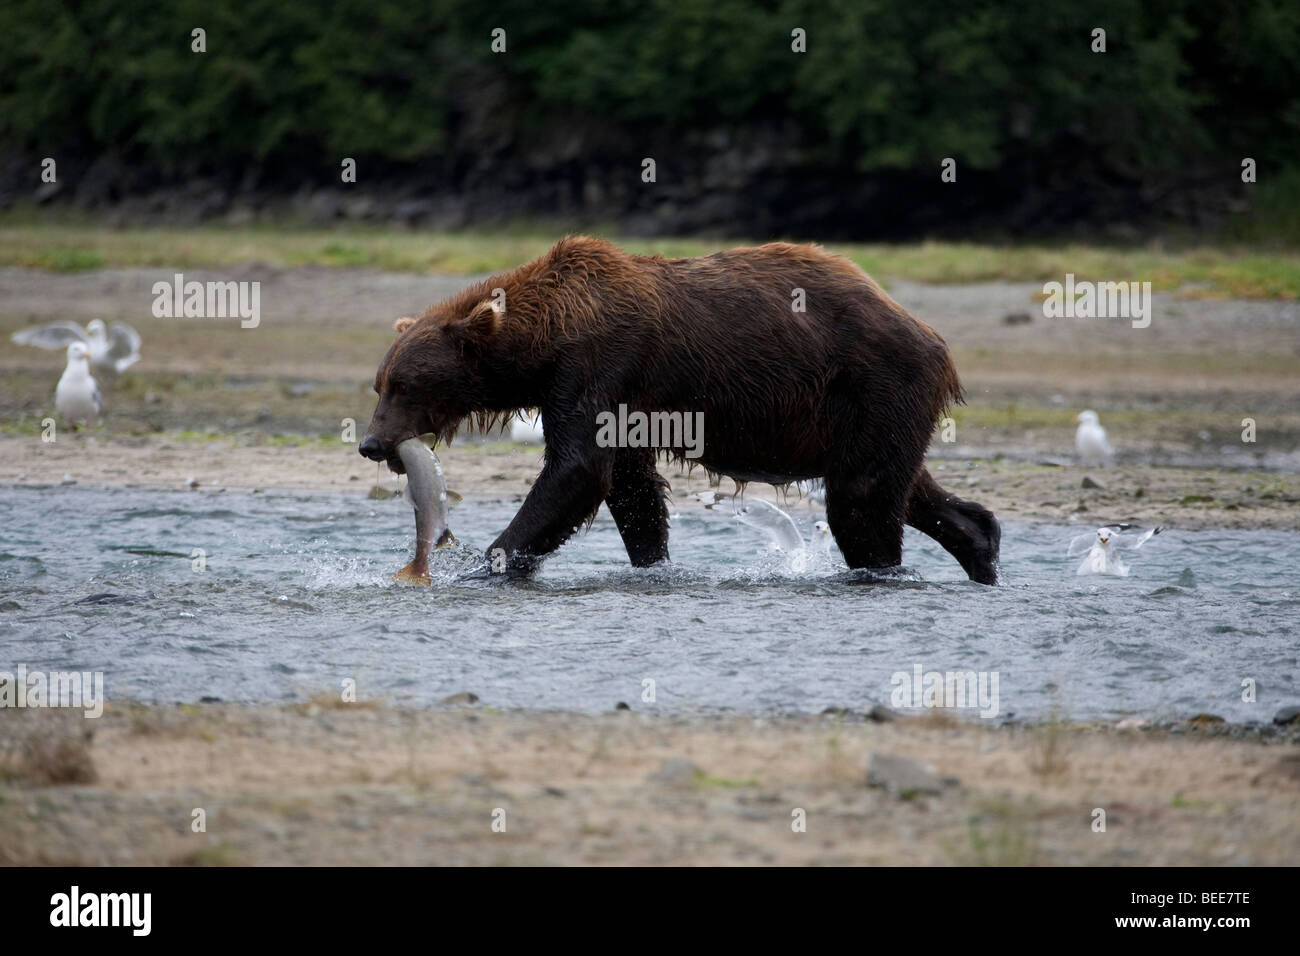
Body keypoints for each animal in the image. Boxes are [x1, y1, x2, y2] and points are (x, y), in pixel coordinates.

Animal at [360, 236, 1001, 584]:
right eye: (381, 384)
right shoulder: (618, 401)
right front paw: (653, 561)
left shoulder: (600, 366)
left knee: (862, 500)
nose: (371, 443)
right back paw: (981, 548)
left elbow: (575, 471)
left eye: (406, 386)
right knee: (905, 486)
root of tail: (931, 335)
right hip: (865, 416)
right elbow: (632, 488)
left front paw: (481, 566)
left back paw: (883, 568)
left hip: (872, 382)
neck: (544, 345)